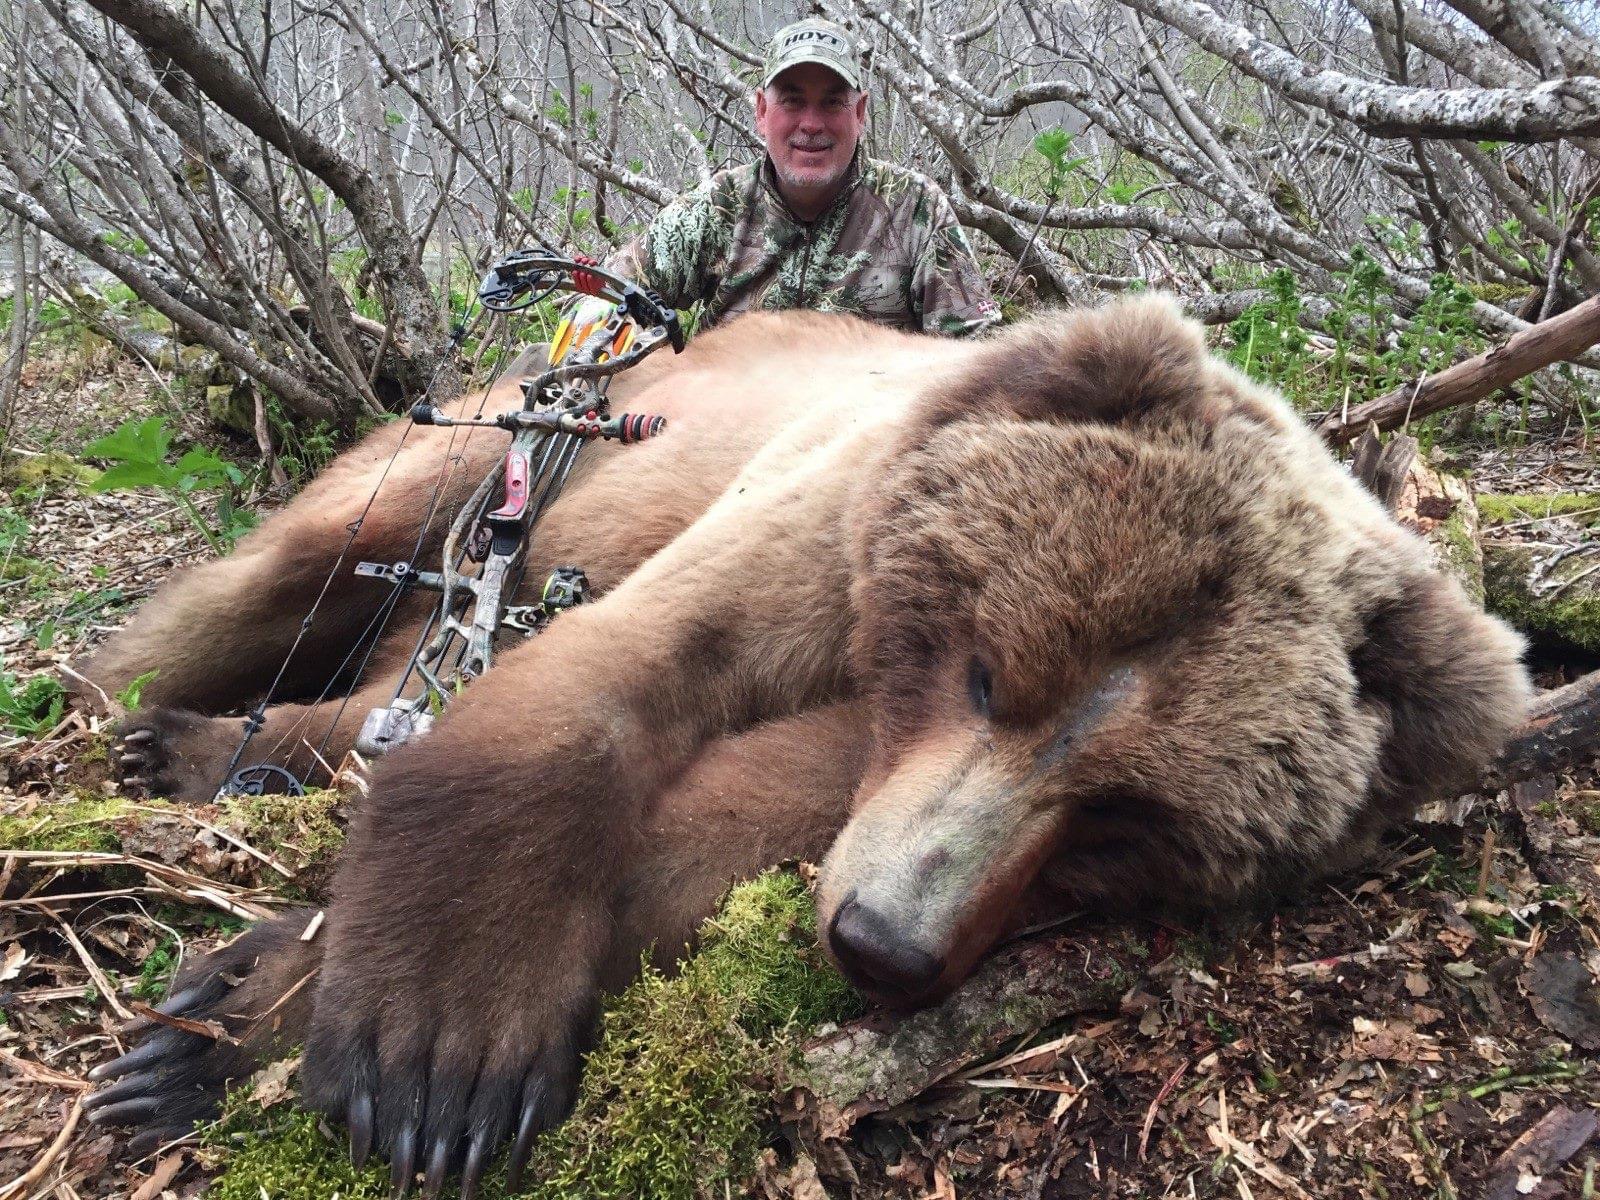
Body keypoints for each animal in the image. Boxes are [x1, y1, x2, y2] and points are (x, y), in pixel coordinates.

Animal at [77, 297, 1531, 1198]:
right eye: (992, 669)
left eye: (1126, 818)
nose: (885, 945)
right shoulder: (824, 519)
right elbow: (614, 678)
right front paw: (420, 1061)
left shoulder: (867, 759)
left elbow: (724, 831)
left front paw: (231, 1022)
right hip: (511, 443)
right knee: (293, 569)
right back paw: (145, 727)